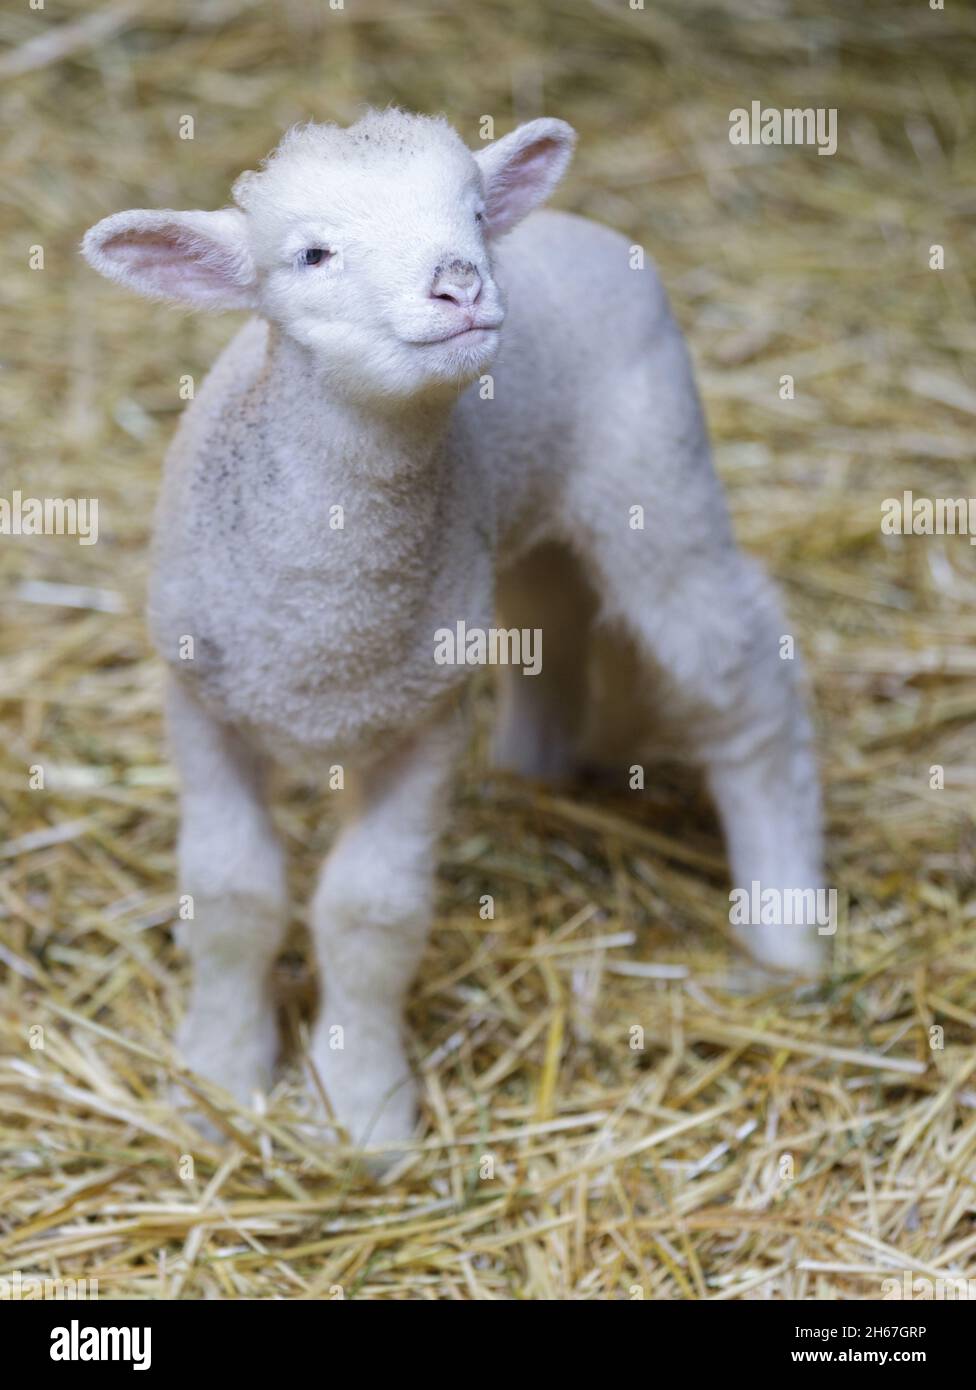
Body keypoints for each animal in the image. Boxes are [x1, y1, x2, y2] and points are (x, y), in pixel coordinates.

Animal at [81, 108, 824, 1154]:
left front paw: (361, 1106)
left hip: (659, 473)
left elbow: (370, 915)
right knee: (553, 622)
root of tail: (577, 224)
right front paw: (219, 1080)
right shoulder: (201, 703)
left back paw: (784, 929)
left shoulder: (424, 718)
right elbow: (232, 898)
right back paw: (533, 771)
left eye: (472, 213)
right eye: (311, 254)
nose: (462, 281)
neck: (323, 626)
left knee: (744, 683)